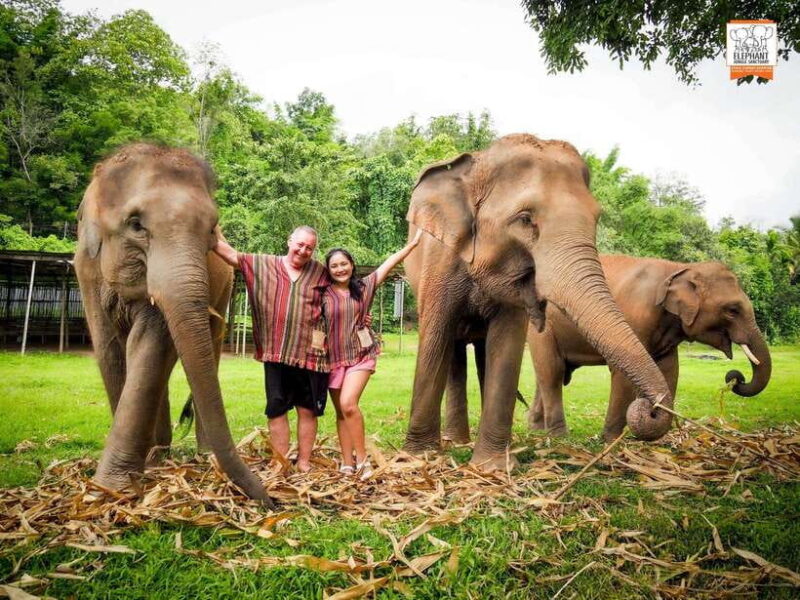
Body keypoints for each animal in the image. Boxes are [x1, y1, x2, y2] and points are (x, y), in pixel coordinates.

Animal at [75, 143, 272, 505]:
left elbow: (149, 345)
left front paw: (113, 487)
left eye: (211, 229)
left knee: (206, 346)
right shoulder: (86, 270)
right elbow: (109, 350)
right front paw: (112, 488)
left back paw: (196, 454)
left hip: (224, 288)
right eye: (136, 224)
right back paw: (158, 455)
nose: (270, 500)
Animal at [403, 133, 675, 471]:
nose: (651, 410)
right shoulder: (440, 259)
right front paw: (419, 458)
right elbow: (436, 336)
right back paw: (457, 442)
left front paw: (492, 467)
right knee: (453, 348)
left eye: (596, 217)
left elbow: (506, 345)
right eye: (525, 219)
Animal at [525, 255, 771, 440]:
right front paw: (610, 441)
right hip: (542, 329)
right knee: (552, 372)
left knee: (546, 373)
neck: (679, 268)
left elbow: (670, 372)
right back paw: (558, 437)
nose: (735, 377)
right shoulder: (635, 315)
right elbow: (622, 372)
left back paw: (536, 431)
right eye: (732, 310)